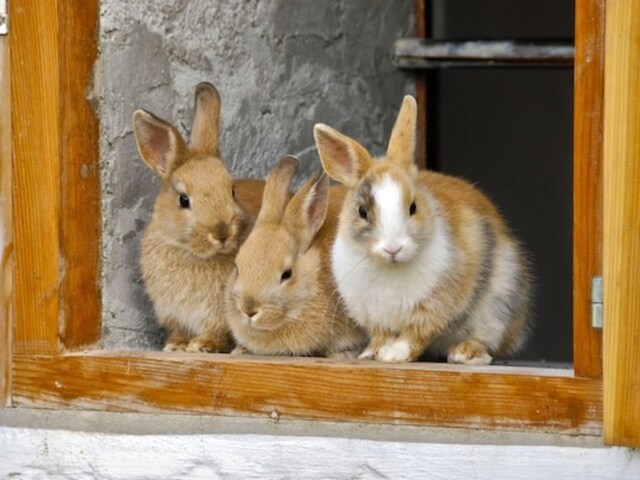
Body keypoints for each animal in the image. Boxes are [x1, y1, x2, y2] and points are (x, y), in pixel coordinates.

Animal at [132, 82, 264, 353]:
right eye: (184, 200)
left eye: (232, 190)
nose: (222, 233)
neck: (193, 254)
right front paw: (175, 345)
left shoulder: (219, 314)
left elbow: (217, 331)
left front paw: (202, 345)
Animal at [313, 95, 532, 364]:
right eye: (362, 211)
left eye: (413, 207)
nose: (393, 248)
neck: (390, 268)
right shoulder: (373, 314)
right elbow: (381, 335)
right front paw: (371, 354)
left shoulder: (432, 308)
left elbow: (415, 335)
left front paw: (394, 355)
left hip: (498, 306)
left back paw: (465, 353)